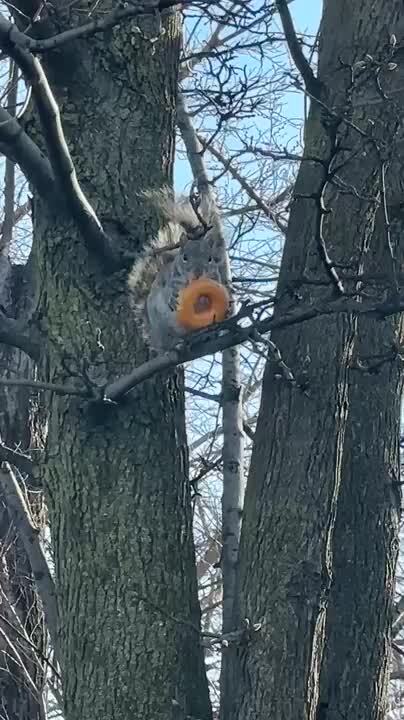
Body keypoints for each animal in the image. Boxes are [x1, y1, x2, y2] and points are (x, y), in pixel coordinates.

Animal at [128, 188, 229, 352]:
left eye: (210, 259)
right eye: (185, 257)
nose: (197, 273)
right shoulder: (170, 279)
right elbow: (170, 289)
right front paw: (173, 296)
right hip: (161, 326)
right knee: (168, 343)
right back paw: (175, 344)